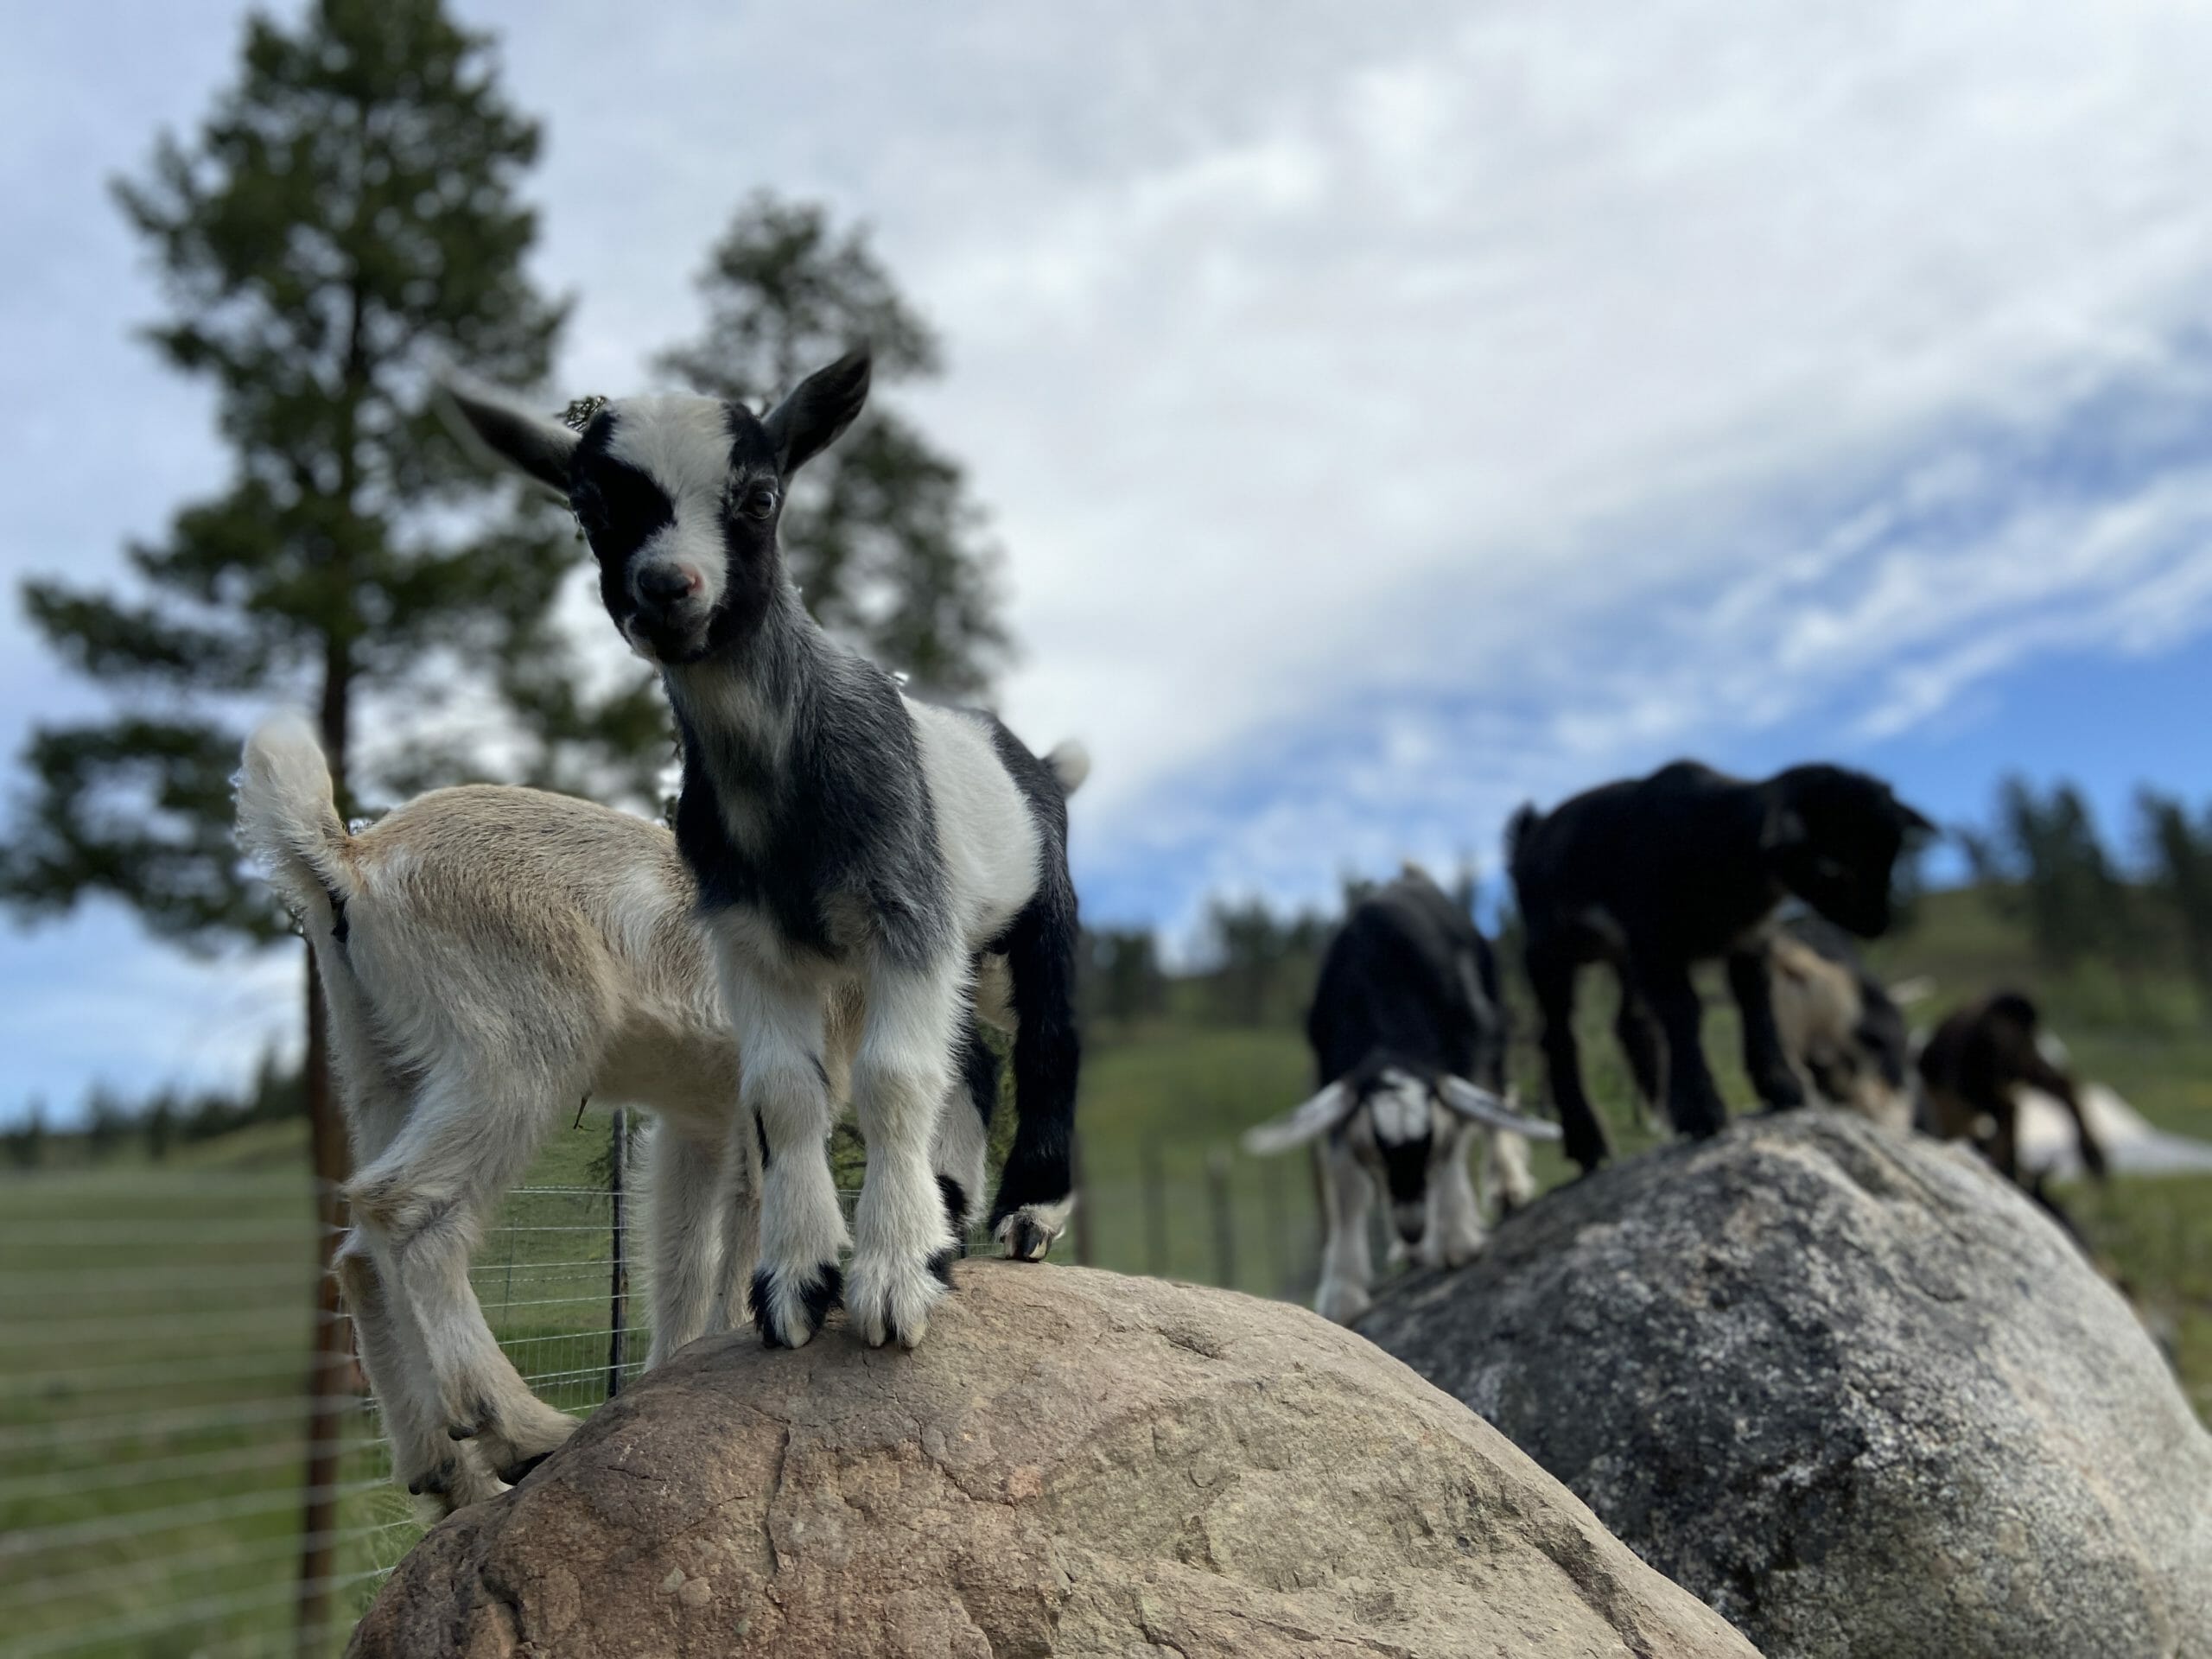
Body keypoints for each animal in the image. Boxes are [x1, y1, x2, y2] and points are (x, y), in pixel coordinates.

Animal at [236, 715, 1083, 1509]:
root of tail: (351, 859)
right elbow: (746, 1226)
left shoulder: (698, 1122)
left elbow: (682, 1254)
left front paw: (670, 1378)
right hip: (516, 1048)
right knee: (408, 1208)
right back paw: (525, 1431)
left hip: (383, 1068)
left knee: (358, 1248)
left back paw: (449, 1478)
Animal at [444, 349, 1083, 1352]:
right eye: (591, 508)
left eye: (760, 495)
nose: (669, 589)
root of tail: (1035, 758)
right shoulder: (750, 938)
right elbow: (785, 1093)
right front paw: (797, 1284)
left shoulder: (904, 910)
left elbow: (893, 1078)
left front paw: (890, 1284)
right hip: (949, 955)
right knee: (974, 1062)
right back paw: (949, 1214)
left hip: (1031, 911)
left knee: (1050, 1036)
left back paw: (1028, 1217)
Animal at [1241, 868, 1557, 1324]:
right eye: (1374, 1154)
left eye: (1433, 1150)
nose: (1412, 1230)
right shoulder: (1331, 1077)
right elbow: (1347, 1185)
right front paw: (1343, 1290)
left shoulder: (1460, 1049)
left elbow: (1461, 1132)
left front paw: (1455, 1241)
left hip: (1491, 1017)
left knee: (1495, 1099)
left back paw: (1507, 1186)